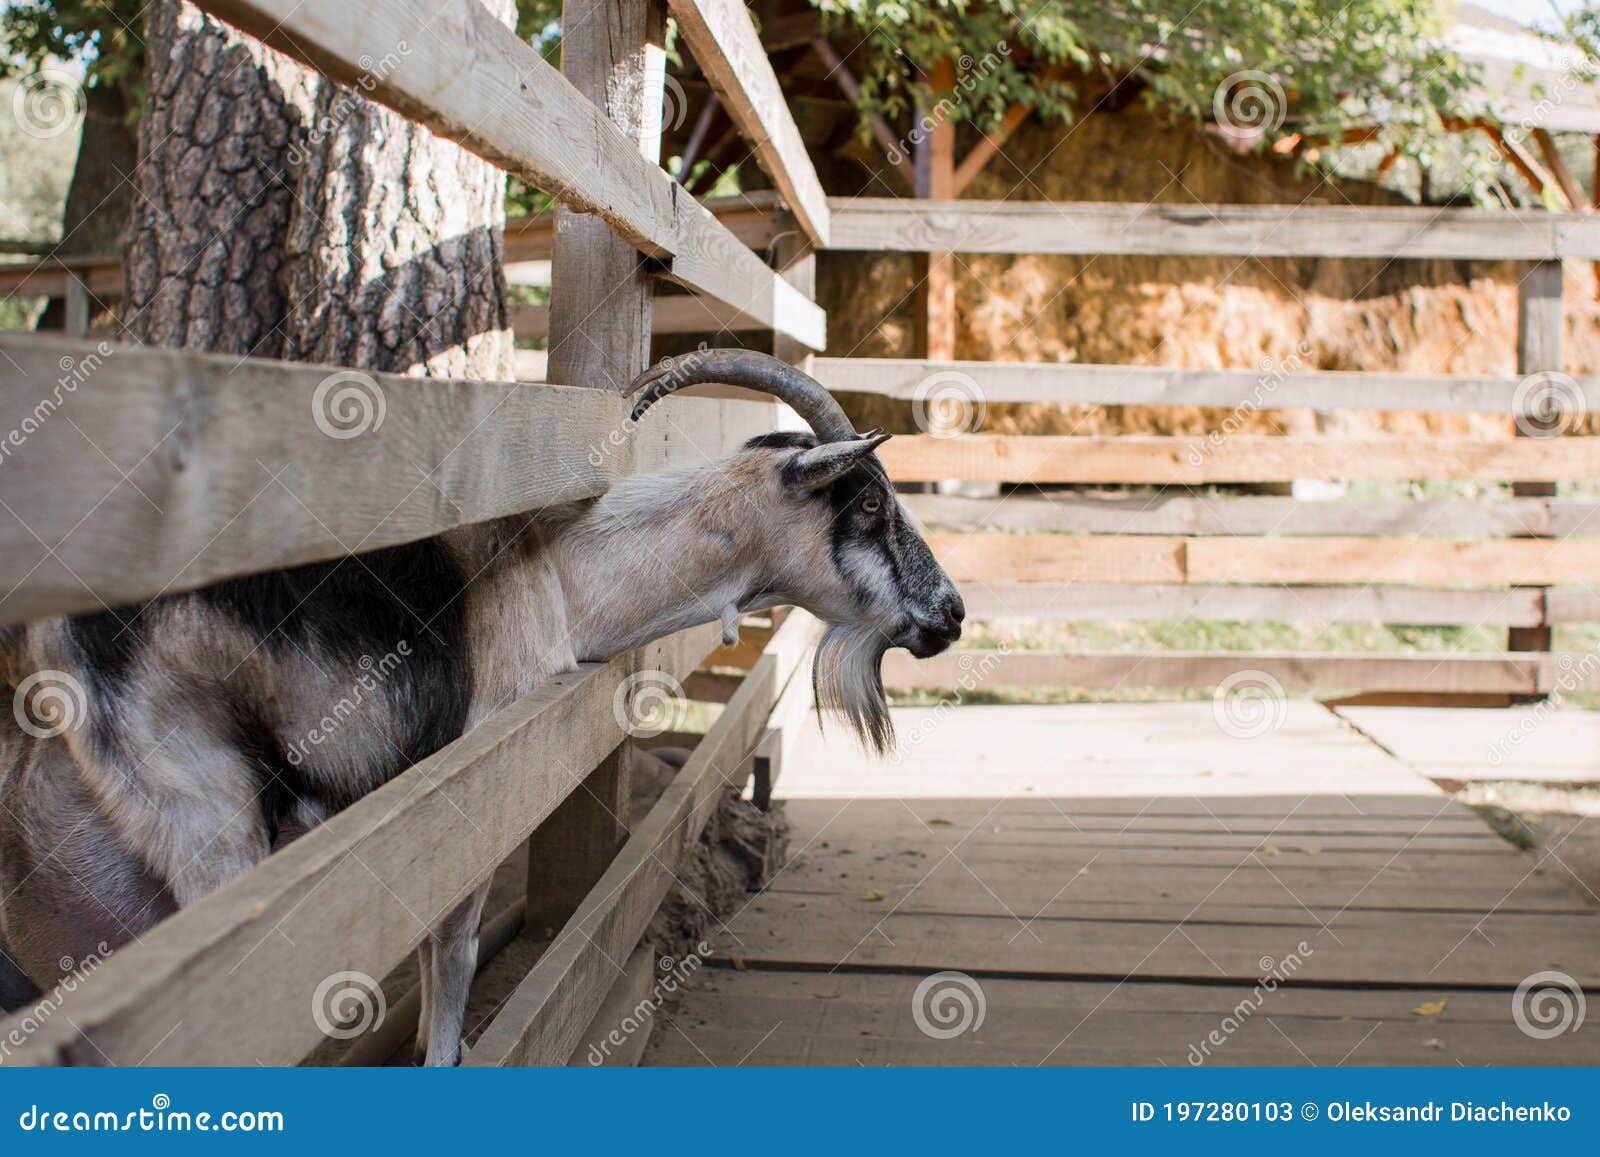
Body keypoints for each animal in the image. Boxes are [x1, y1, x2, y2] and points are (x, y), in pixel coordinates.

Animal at [0, 351, 964, 1064]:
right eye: (867, 499)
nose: (950, 612)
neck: (564, 576)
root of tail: (51, 665)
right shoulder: (467, 806)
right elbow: (453, 953)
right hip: (206, 831)